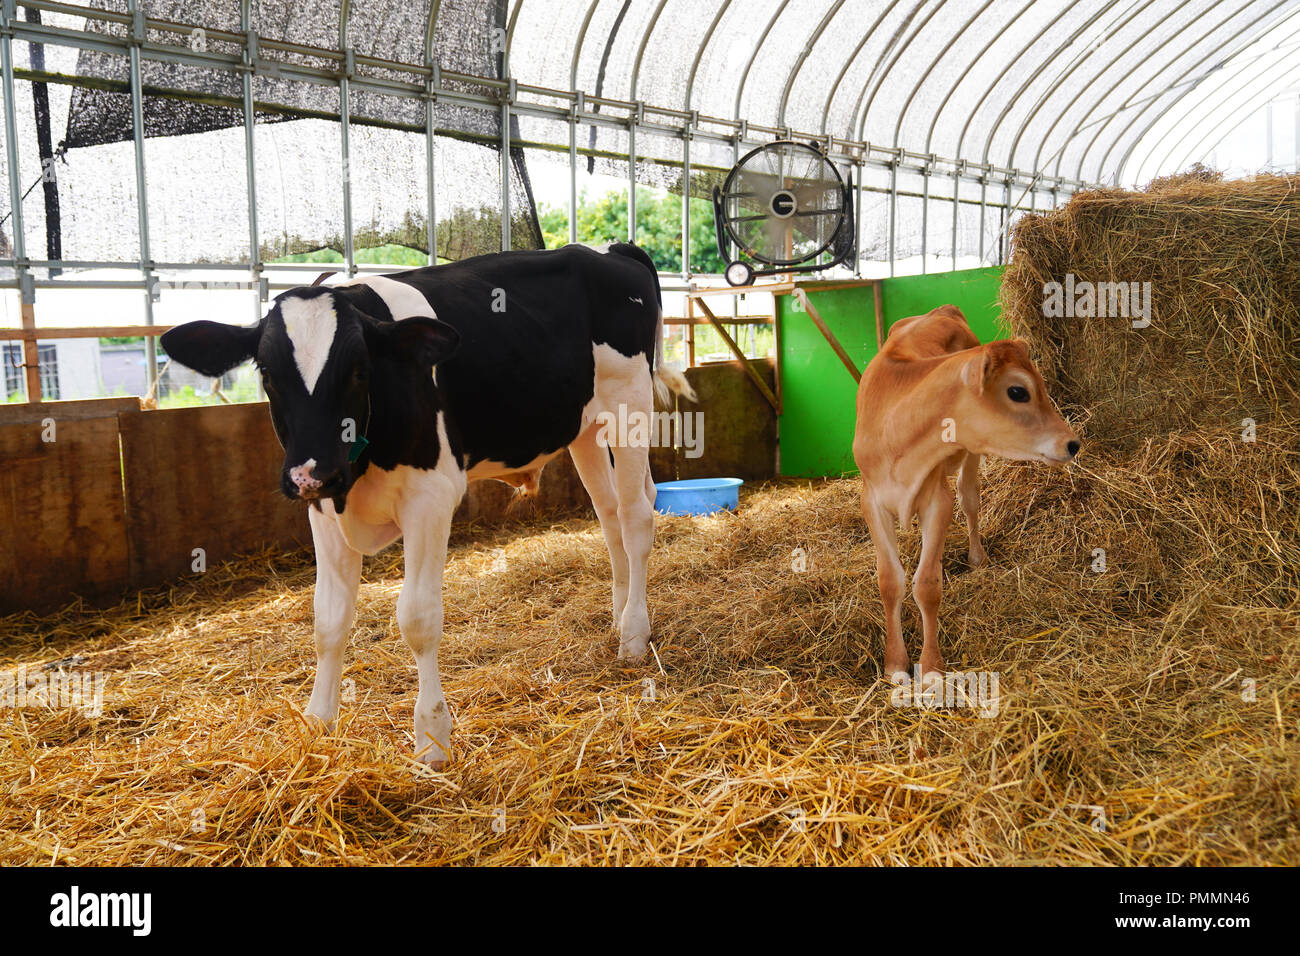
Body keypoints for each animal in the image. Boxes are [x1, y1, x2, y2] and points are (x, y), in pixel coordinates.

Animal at [160, 243, 696, 768]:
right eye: (268, 374)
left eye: (358, 370)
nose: (311, 473)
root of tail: (608, 250)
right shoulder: (324, 511)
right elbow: (328, 619)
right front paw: (318, 723)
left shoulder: (430, 498)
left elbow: (417, 618)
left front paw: (432, 739)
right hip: (583, 426)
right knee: (609, 514)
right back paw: (620, 616)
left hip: (629, 405)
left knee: (636, 517)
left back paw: (634, 636)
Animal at [852, 305, 1079, 683]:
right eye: (1018, 391)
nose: (1073, 443)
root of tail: (940, 310)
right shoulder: (872, 500)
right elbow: (890, 580)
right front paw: (895, 664)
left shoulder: (937, 500)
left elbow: (927, 585)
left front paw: (931, 667)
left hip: (972, 454)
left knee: (969, 498)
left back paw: (976, 558)